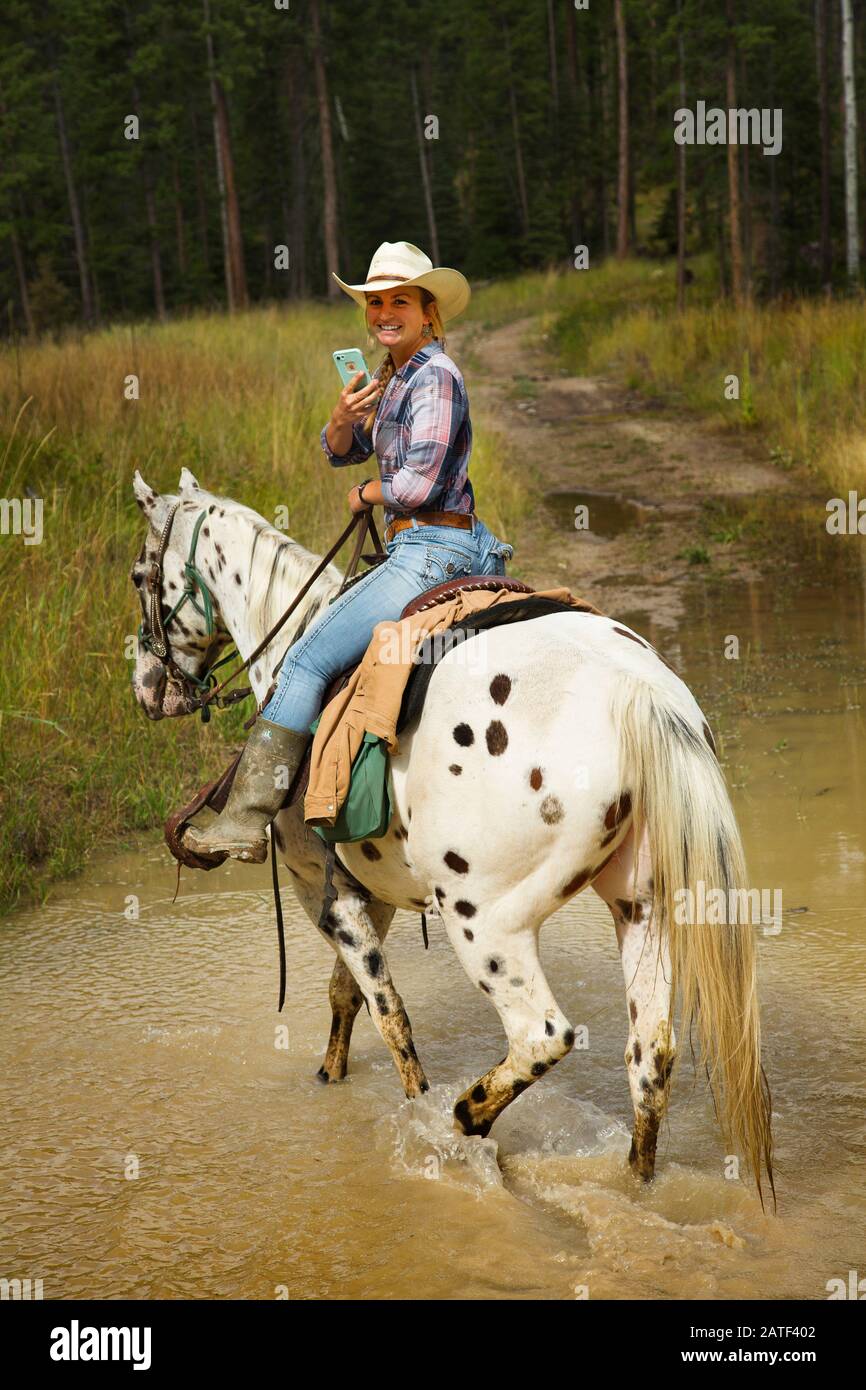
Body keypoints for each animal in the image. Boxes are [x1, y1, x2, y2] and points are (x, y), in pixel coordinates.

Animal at [129, 469, 774, 1199]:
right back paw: (632, 1181)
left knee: (542, 1036)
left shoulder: (322, 887)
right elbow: (346, 994)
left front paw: (412, 1106)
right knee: (650, 1057)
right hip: (644, 907)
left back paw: (460, 1122)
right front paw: (330, 1078)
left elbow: (387, 1011)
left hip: (484, 921)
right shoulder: (372, 888)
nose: (147, 689)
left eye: (138, 575)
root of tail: (640, 694)